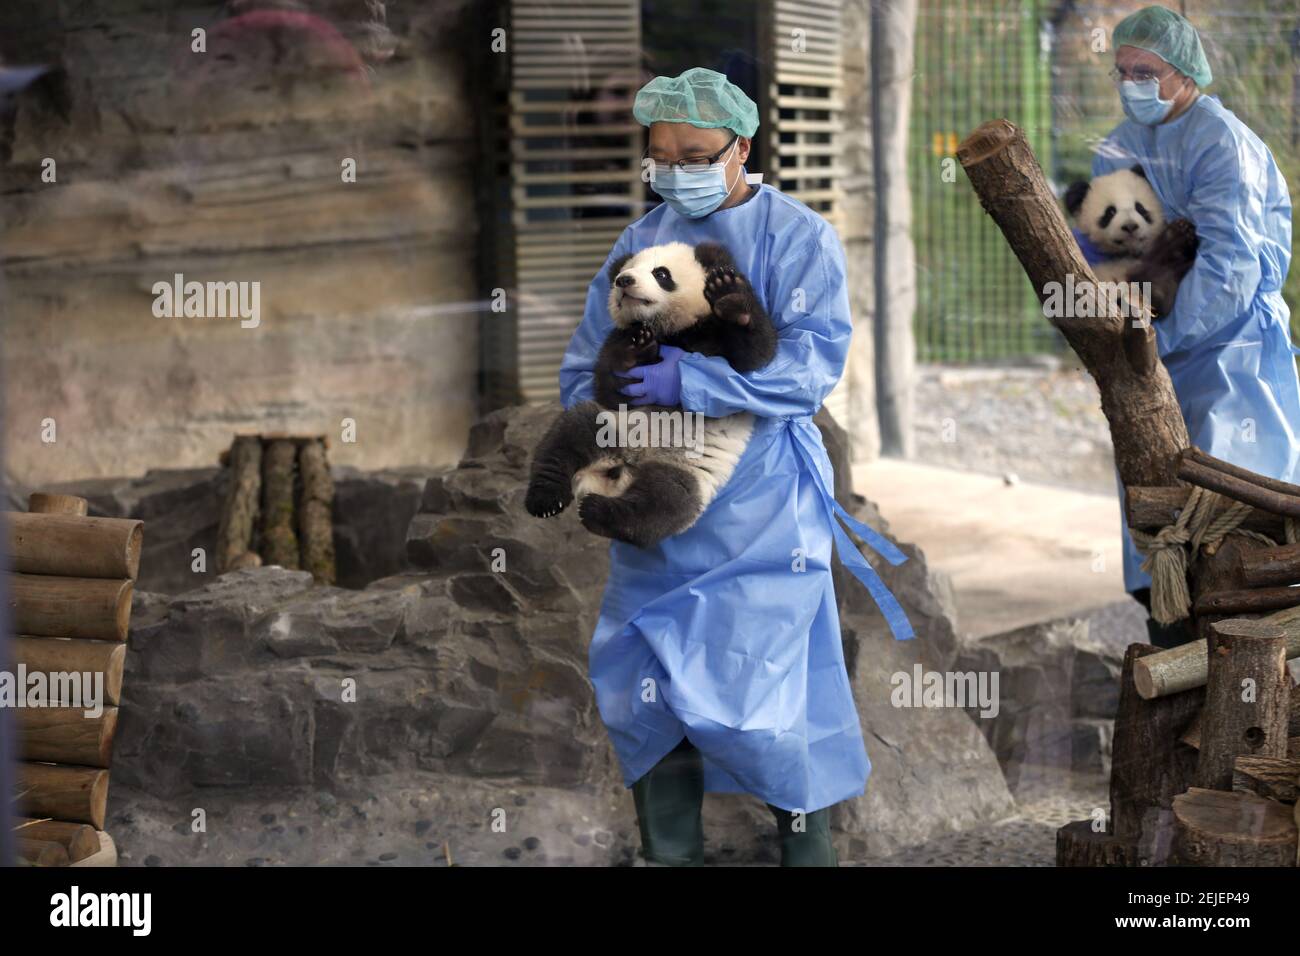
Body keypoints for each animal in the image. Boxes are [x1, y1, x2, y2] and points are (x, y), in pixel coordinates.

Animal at [524, 240, 778, 548]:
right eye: (625, 271)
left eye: (661, 273)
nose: (624, 281)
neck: (670, 330)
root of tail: (621, 470)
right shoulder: (618, 341)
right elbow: (611, 386)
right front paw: (635, 349)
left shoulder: (713, 338)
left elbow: (753, 357)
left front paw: (728, 296)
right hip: (611, 426)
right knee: (569, 435)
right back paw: (546, 499)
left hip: (685, 469)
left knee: (664, 504)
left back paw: (599, 512)